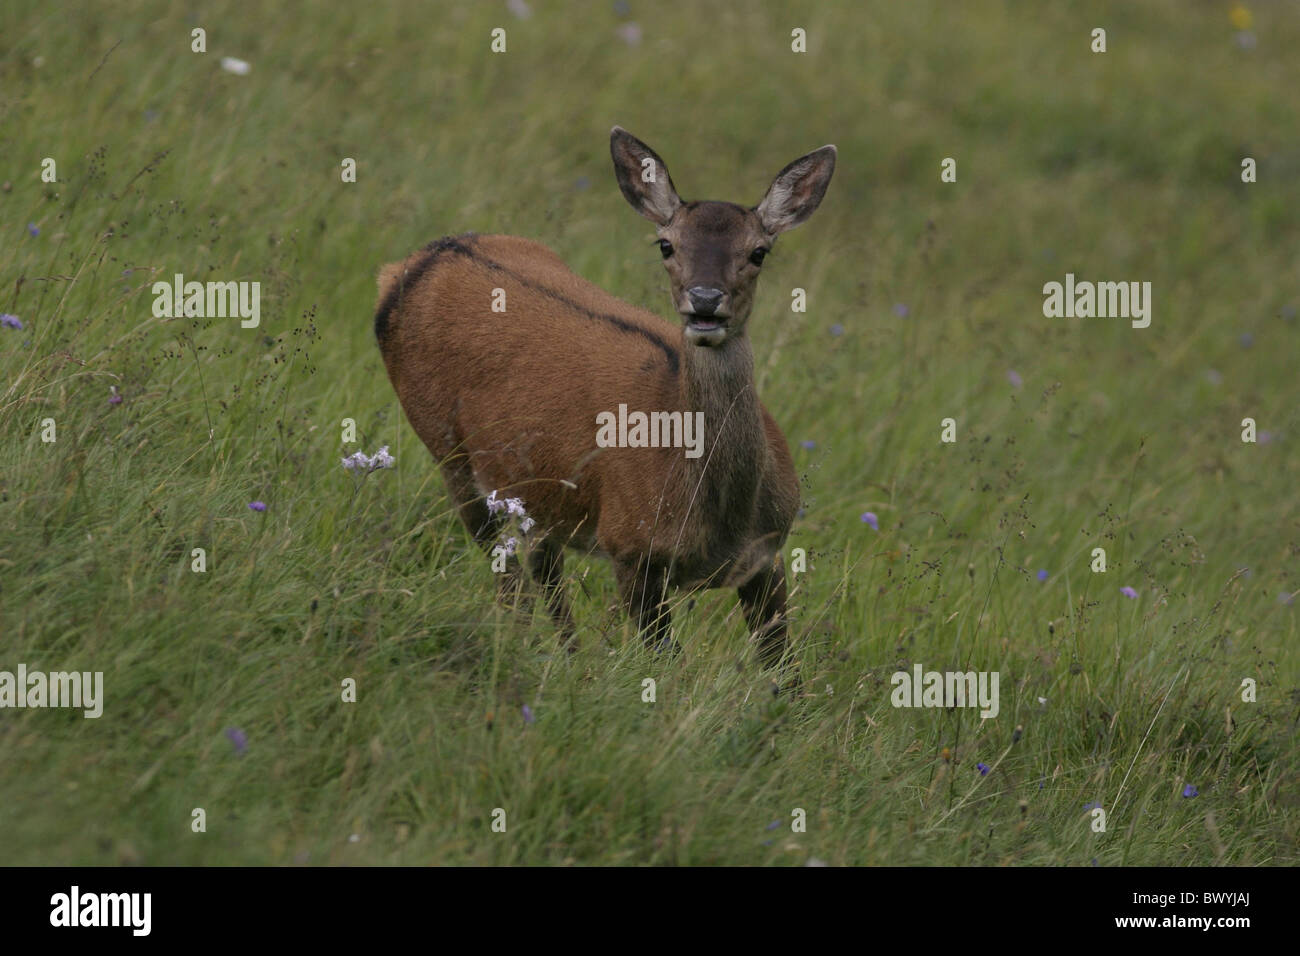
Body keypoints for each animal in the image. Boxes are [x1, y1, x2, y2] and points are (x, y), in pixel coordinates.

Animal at [373, 127, 835, 668]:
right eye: (666, 244)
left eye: (759, 251)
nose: (704, 301)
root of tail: (410, 262)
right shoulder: (630, 547)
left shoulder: (767, 554)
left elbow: (786, 672)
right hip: (448, 453)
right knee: (507, 574)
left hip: (536, 493)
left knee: (541, 568)